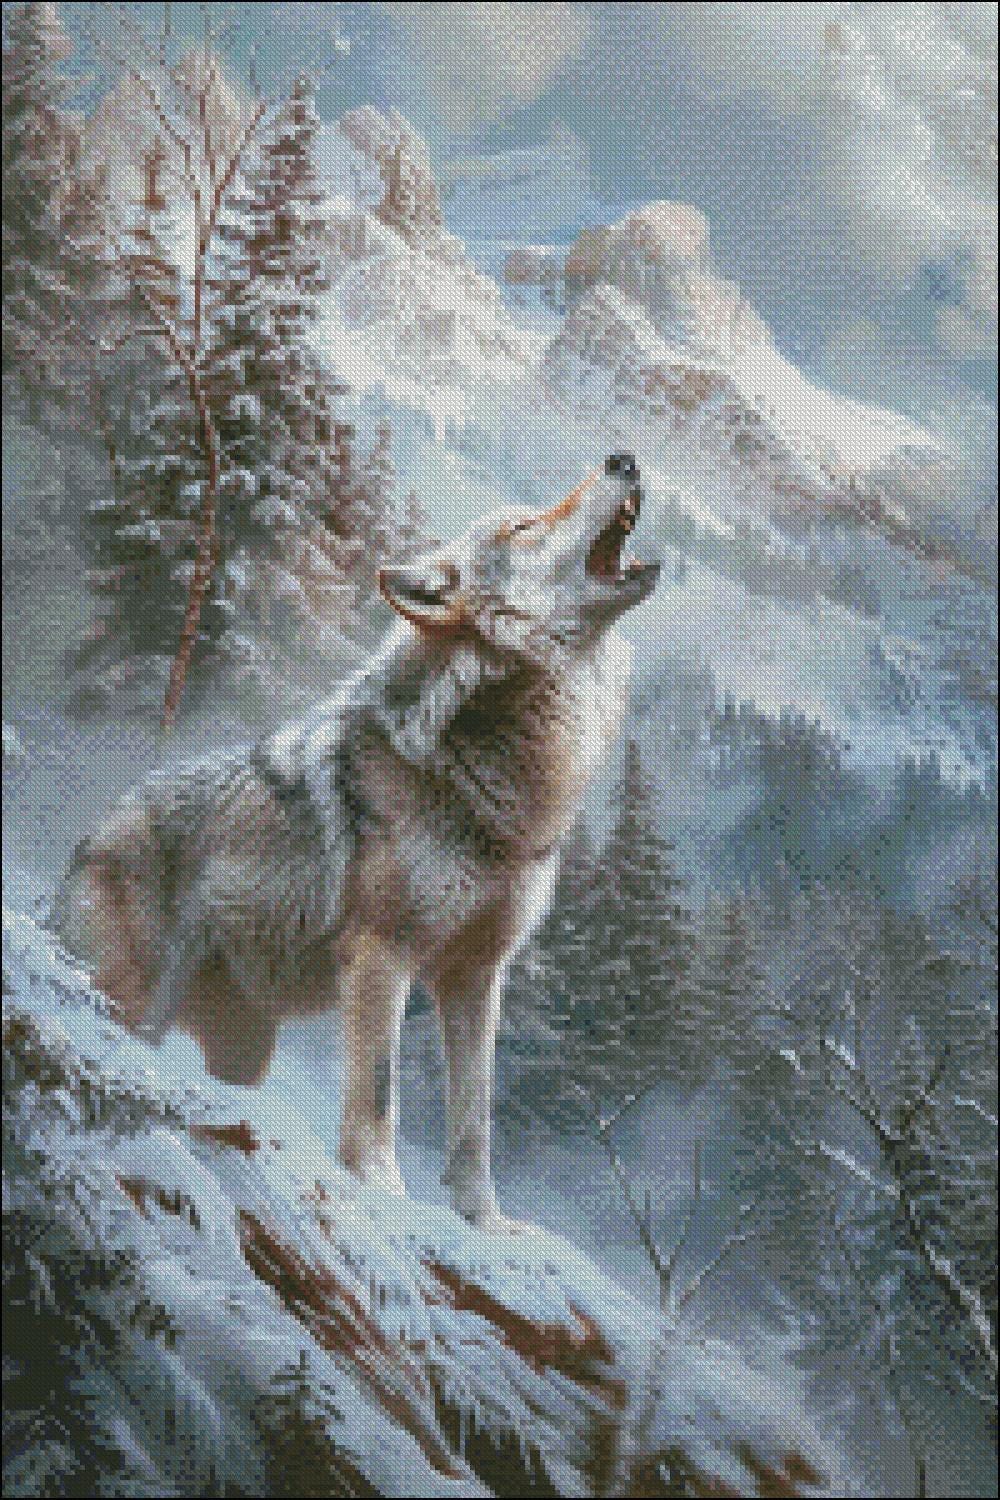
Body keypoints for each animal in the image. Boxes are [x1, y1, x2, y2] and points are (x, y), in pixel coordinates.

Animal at [55, 453, 659, 1228]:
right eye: (526, 525)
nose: (624, 458)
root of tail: (88, 836)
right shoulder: (383, 955)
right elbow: (377, 1093)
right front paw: (381, 1190)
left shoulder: (477, 975)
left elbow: (475, 1120)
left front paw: (483, 1221)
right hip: (135, 1004)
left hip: (243, 1049)